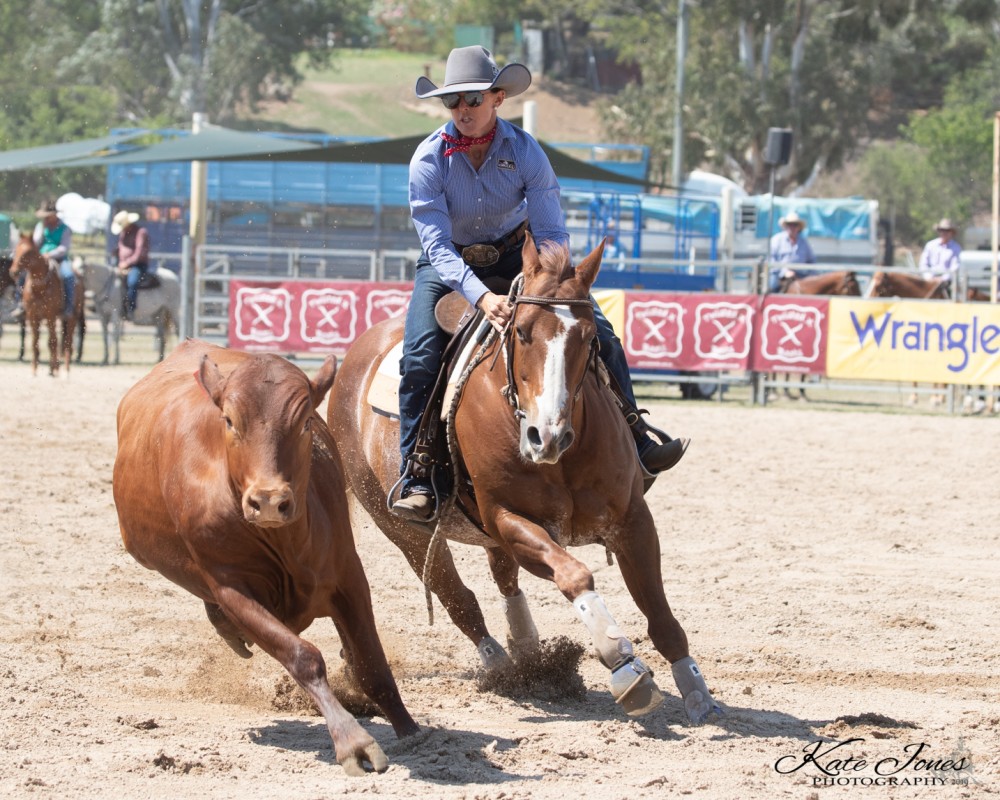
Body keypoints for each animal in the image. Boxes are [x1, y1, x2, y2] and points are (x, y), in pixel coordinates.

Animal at [328, 234, 720, 726]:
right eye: (521, 331)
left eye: (590, 337)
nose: (546, 435)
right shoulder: (510, 521)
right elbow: (575, 575)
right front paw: (623, 664)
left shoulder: (632, 519)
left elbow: (660, 613)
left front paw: (694, 688)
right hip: (403, 530)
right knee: (459, 599)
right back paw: (501, 666)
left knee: (503, 579)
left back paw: (528, 650)